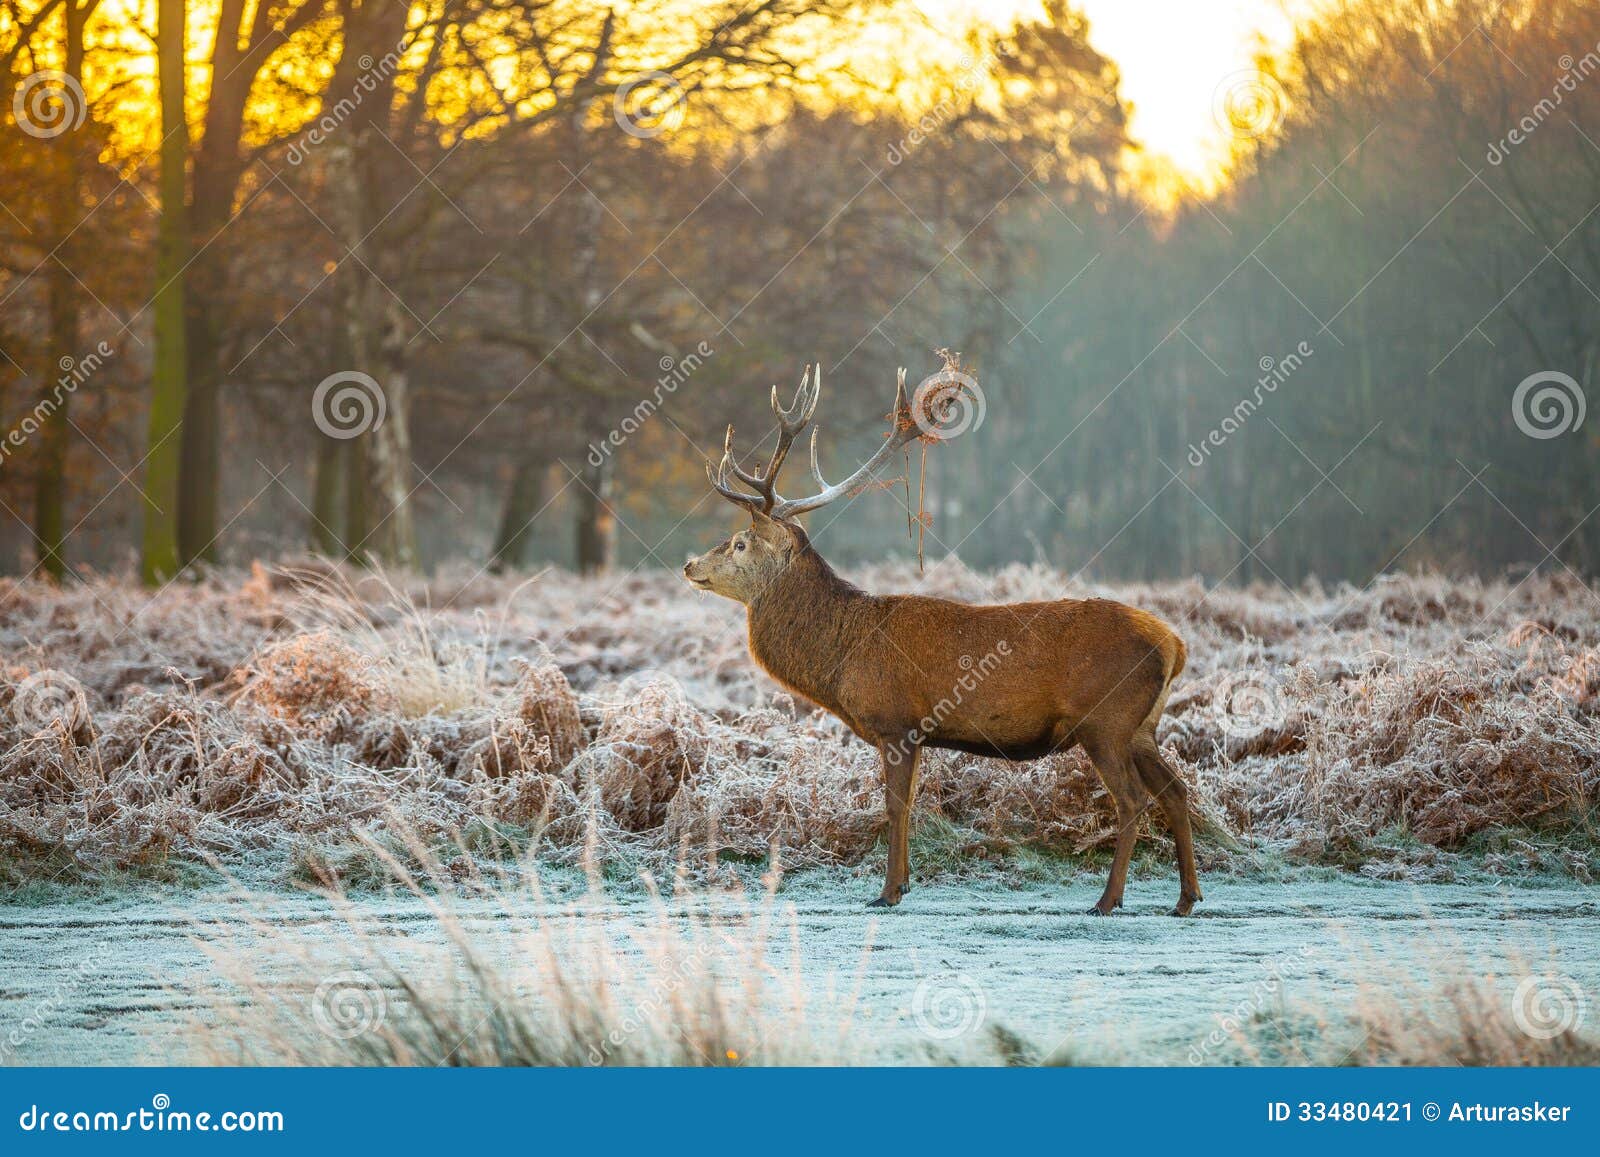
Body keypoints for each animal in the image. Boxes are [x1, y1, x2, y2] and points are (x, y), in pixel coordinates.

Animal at [681, 364, 1200, 916]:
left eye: (740, 543)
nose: (690, 564)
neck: (841, 658)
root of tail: (1174, 644)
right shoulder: (913, 732)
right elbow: (911, 803)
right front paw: (905, 883)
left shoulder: (895, 723)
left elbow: (896, 805)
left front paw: (887, 891)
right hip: (1142, 726)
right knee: (1177, 792)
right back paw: (1186, 898)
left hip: (1104, 720)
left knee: (1132, 799)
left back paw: (1108, 899)